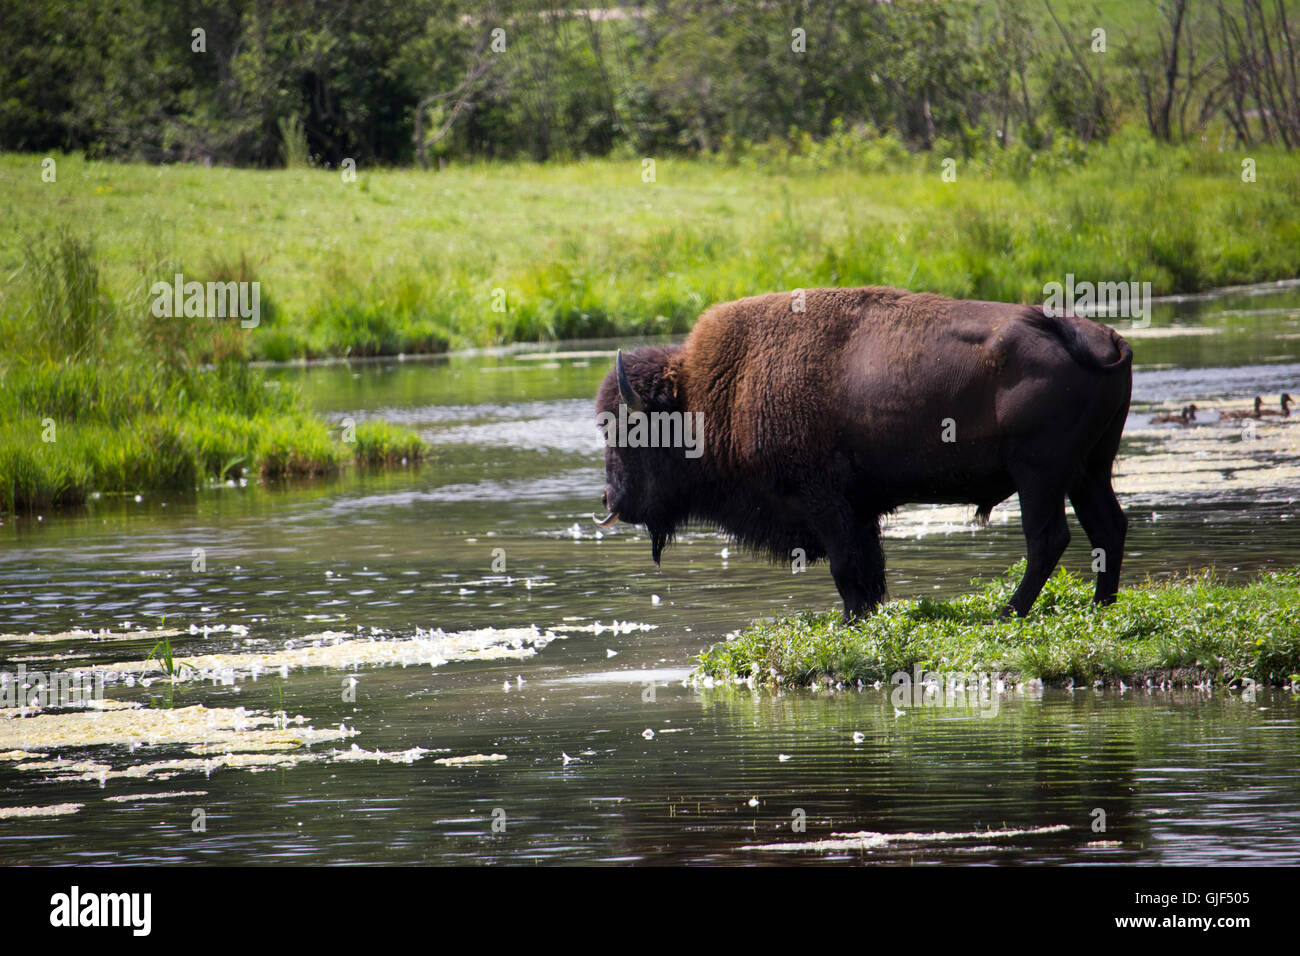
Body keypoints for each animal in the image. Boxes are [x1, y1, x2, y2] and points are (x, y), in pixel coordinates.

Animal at [593, 286, 1132, 620]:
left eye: (628, 427)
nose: (609, 500)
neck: (714, 391)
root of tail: (1103, 338)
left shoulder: (824, 503)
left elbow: (847, 569)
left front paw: (852, 622)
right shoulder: (859, 509)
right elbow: (868, 571)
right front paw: (865, 619)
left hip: (1038, 475)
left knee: (1048, 539)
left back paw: (1006, 614)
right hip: (1089, 470)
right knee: (1106, 527)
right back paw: (1099, 608)